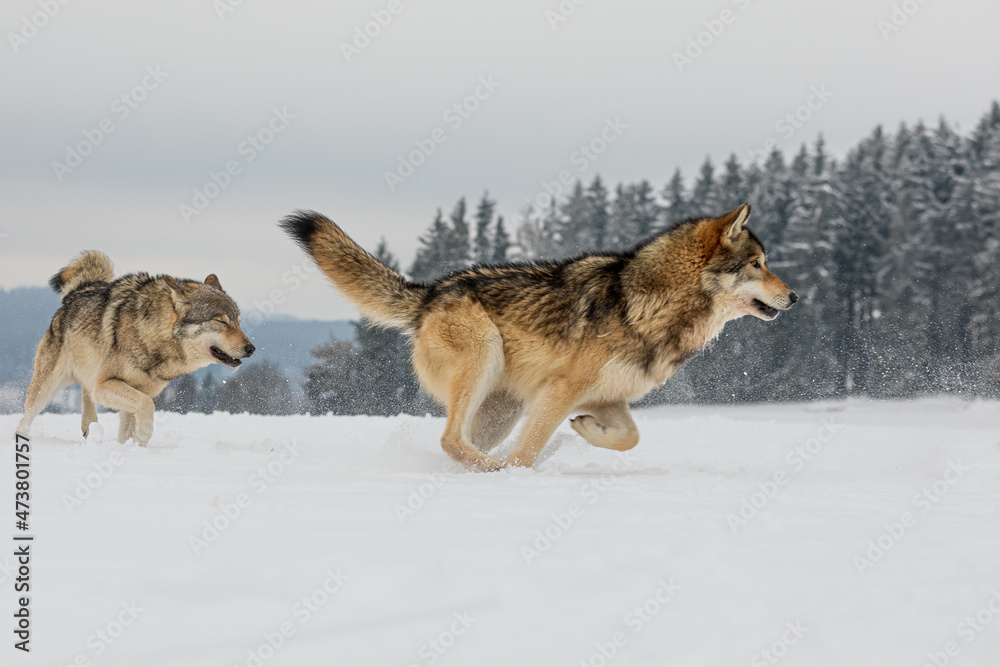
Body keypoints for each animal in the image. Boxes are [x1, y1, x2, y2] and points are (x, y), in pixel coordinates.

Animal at [16, 251, 255, 445]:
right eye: (221, 321)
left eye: (238, 322)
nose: (251, 348)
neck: (152, 337)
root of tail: (80, 290)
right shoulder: (107, 385)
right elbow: (146, 406)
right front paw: (142, 439)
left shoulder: (136, 391)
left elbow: (129, 427)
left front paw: (131, 449)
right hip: (47, 386)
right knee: (26, 418)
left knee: (86, 390)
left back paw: (90, 427)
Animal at [281, 203, 796, 471]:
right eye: (758, 264)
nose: (794, 296)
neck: (651, 304)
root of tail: (430, 293)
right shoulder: (560, 389)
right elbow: (530, 452)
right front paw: (525, 471)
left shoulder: (608, 397)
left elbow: (629, 438)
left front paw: (583, 432)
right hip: (484, 359)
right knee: (451, 439)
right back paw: (494, 470)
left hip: (499, 409)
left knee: (456, 442)